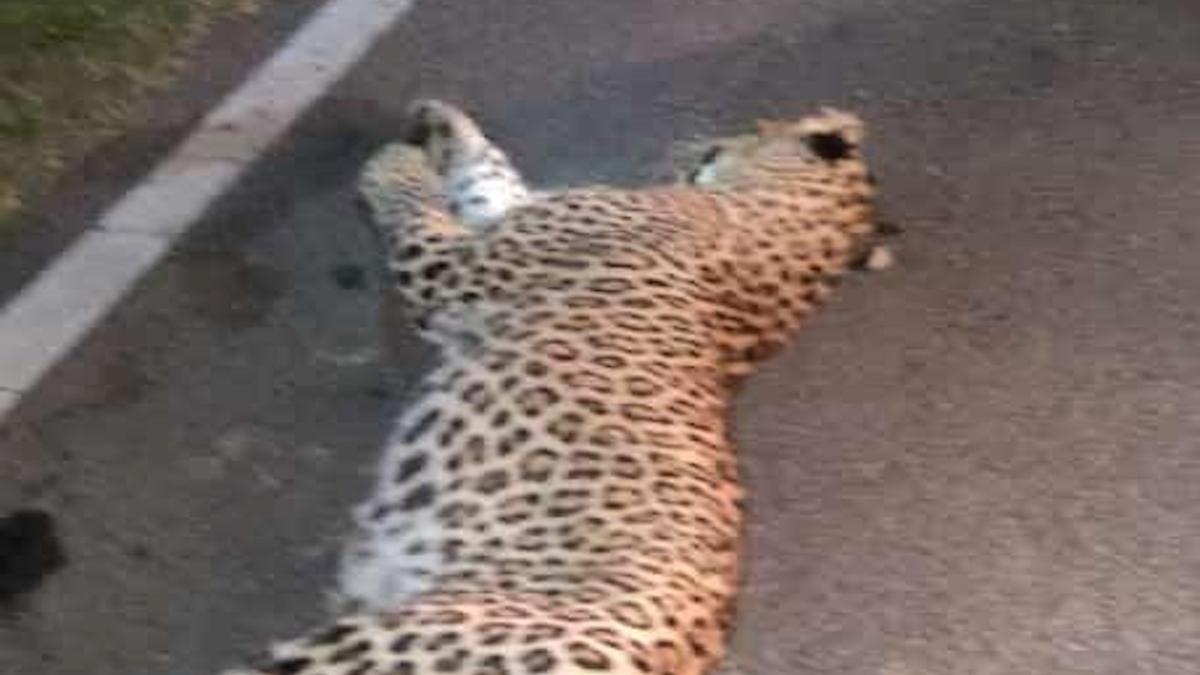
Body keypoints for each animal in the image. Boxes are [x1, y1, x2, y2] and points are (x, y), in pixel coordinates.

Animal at [221, 100, 884, 675]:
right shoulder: (497, 229)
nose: (716, 136)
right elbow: (490, 179)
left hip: (384, 641)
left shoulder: (454, 270)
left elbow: (419, 207)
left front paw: (394, 163)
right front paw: (445, 126)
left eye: (759, 126)